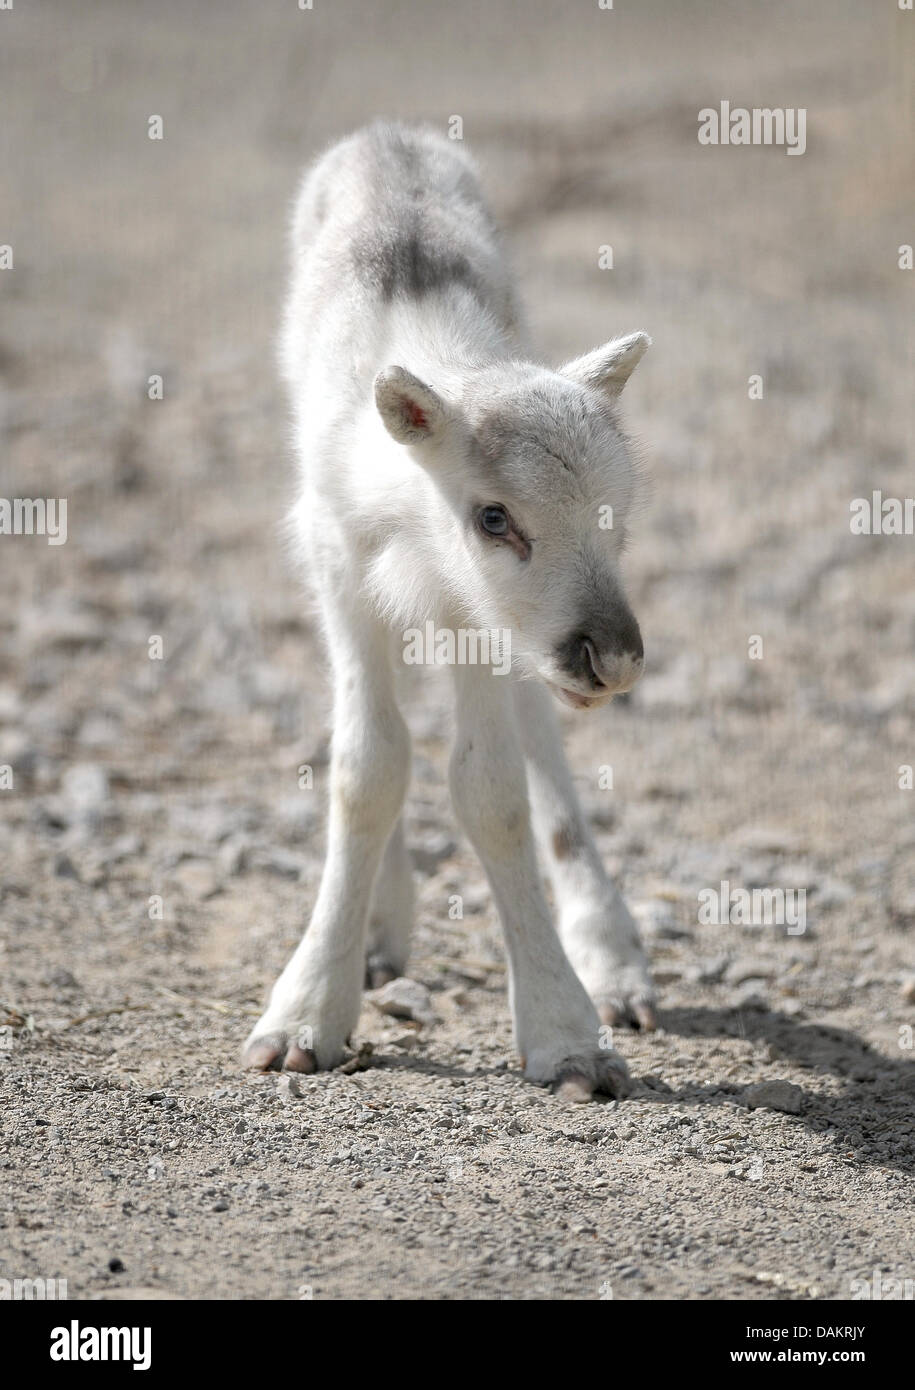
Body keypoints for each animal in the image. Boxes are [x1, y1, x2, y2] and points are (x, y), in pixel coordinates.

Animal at [243, 122, 655, 1102]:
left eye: (616, 515)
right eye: (494, 516)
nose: (614, 657)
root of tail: (383, 133)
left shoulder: (482, 621)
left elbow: (490, 789)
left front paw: (567, 1035)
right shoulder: (339, 567)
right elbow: (365, 769)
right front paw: (304, 1017)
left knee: (536, 728)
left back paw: (610, 955)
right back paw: (378, 933)